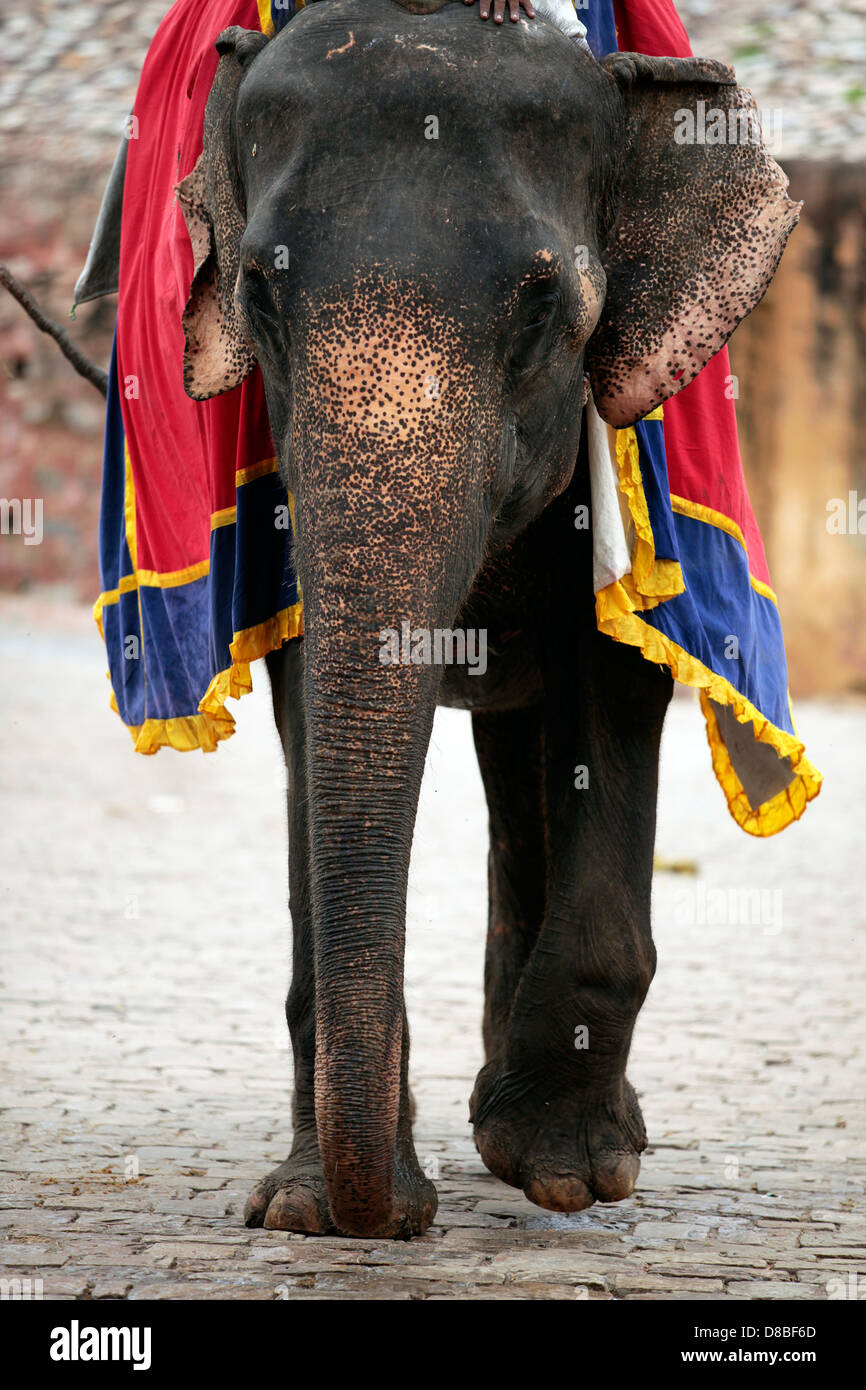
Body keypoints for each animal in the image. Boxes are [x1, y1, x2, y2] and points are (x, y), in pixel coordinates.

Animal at [177, 0, 798, 1238]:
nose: (393, 1215)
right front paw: (304, 1205)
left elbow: (615, 678)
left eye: (543, 303)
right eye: (259, 291)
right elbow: (306, 701)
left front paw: (564, 1168)